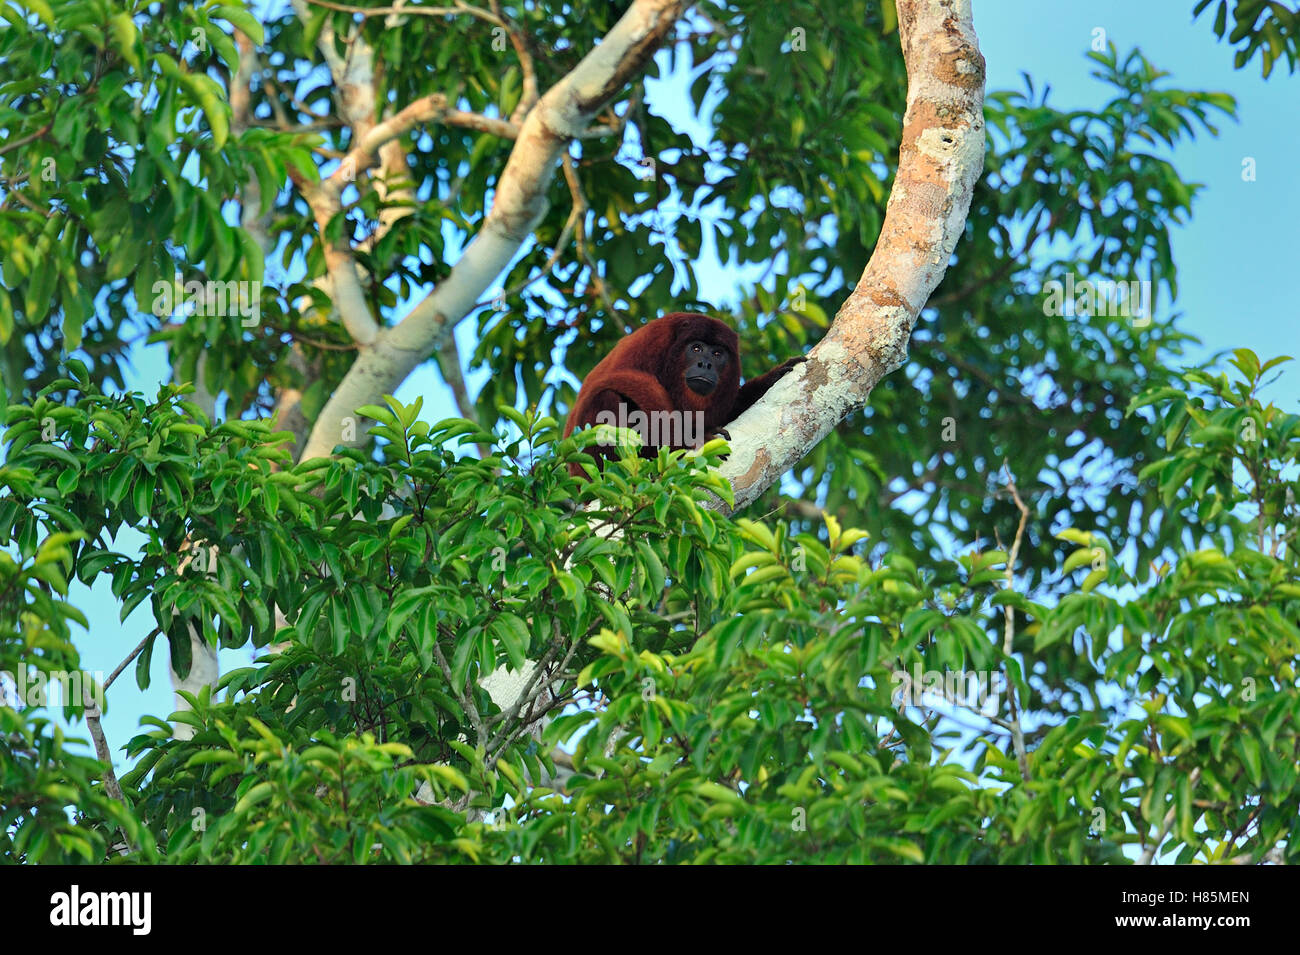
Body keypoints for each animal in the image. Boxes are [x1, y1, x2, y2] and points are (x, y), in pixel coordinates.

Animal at [562, 312, 804, 477]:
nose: (705, 364)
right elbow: (622, 380)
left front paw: (774, 376)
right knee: (606, 397)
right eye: (696, 349)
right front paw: (697, 438)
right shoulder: (652, 341)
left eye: (717, 354)